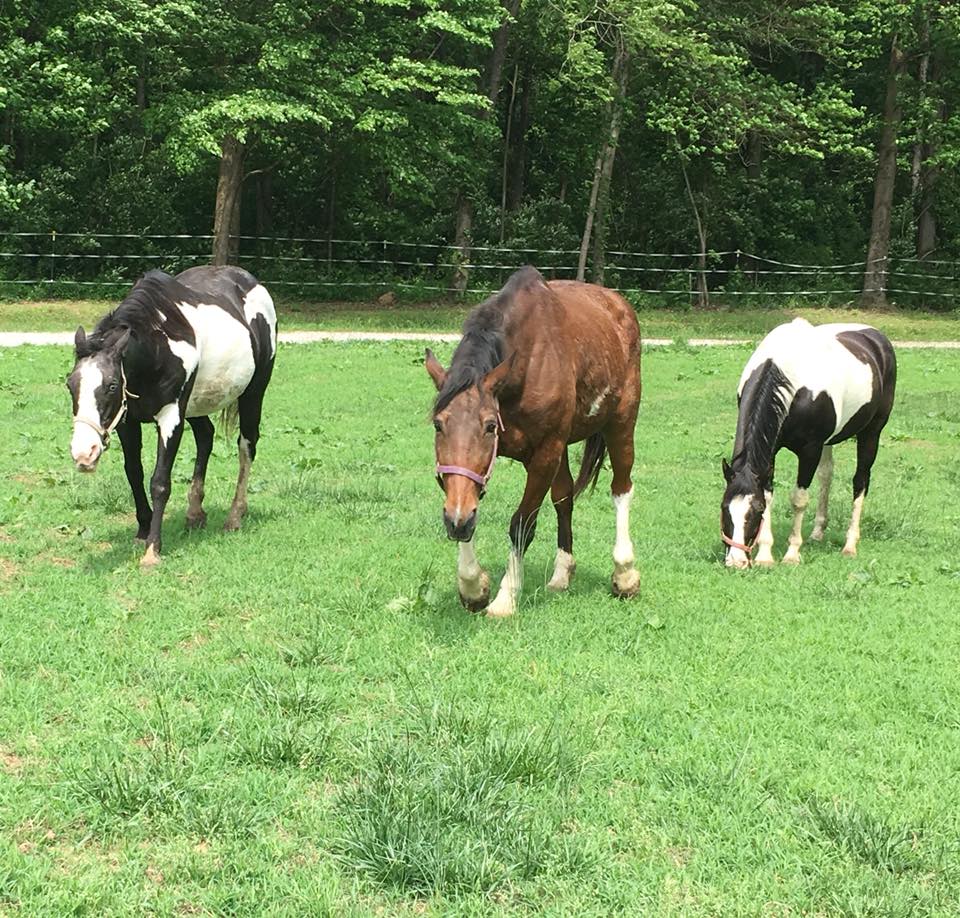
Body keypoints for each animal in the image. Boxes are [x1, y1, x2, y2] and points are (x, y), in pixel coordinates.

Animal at [67, 265, 277, 567]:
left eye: (112, 385)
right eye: (69, 384)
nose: (85, 454)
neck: (158, 344)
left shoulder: (171, 417)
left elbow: (159, 482)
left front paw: (152, 549)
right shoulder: (127, 422)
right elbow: (134, 473)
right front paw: (142, 531)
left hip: (253, 393)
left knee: (247, 447)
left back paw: (235, 516)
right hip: (196, 406)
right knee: (206, 437)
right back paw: (194, 513)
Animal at [424, 265, 641, 617]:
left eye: (489, 426)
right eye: (438, 424)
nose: (455, 519)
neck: (525, 365)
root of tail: (618, 305)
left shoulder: (543, 455)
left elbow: (522, 524)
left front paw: (505, 598)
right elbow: (470, 513)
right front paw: (472, 587)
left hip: (621, 423)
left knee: (621, 488)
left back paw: (624, 574)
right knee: (564, 498)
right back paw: (562, 573)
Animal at [721, 318, 896, 568]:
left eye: (756, 511)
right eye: (725, 508)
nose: (736, 561)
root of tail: (878, 338)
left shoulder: (809, 450)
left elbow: (799, 500)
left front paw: (792, 553)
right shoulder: (770, 451)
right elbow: (769, 493)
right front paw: (765, 555)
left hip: (871, 432)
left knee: (860, 480)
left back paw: (850, 544)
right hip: (828, 442)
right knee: (826, 475)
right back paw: (817, 532)